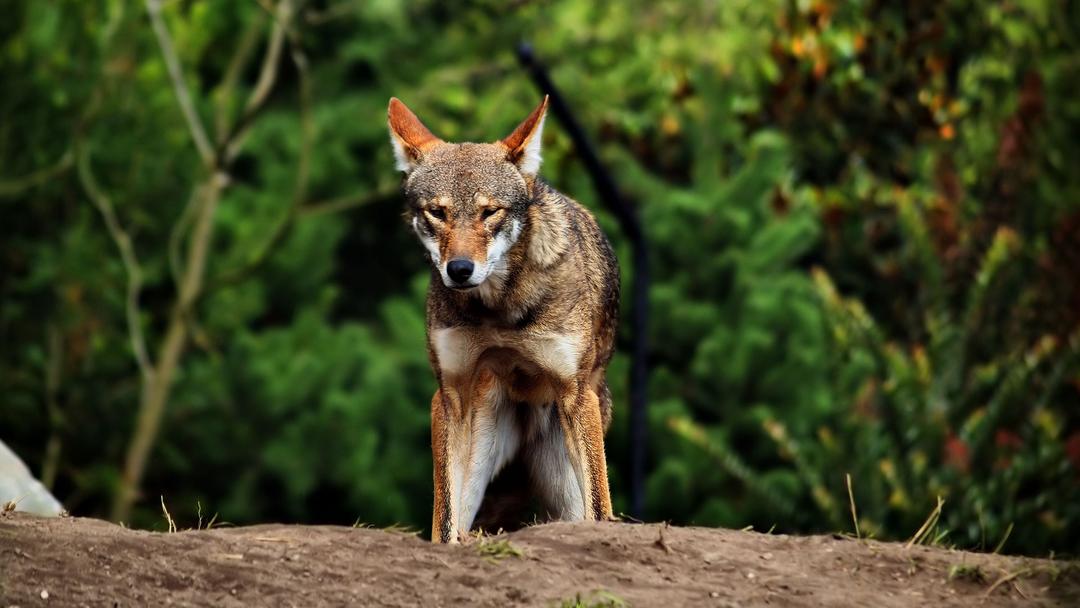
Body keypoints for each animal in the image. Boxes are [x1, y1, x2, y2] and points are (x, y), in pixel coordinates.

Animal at [388, 96, 620, 543]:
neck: (500, 310)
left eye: (489, 212)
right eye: (437, 213)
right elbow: (444, 523)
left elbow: (601, 512)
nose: (460, 269)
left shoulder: (575, 392)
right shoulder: (449, 394)